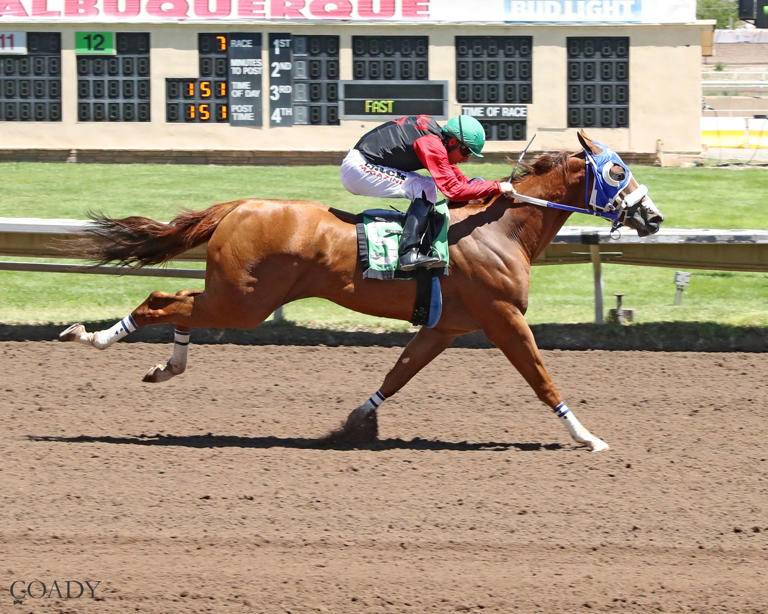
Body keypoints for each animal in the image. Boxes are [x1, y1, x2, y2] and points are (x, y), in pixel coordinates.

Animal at [59, 130, 663, 451]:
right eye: (617, 171)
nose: (654, 217)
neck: (501, 229)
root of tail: (239, 205)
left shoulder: (446, 326)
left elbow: (399, 374)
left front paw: (356, 423)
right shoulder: (503, 318)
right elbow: (542, 379)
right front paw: (588, 437)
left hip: (236, 295)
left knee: (182, 308)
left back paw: (167, 366)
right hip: (247, 300)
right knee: (161, 302)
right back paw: (92, 337)